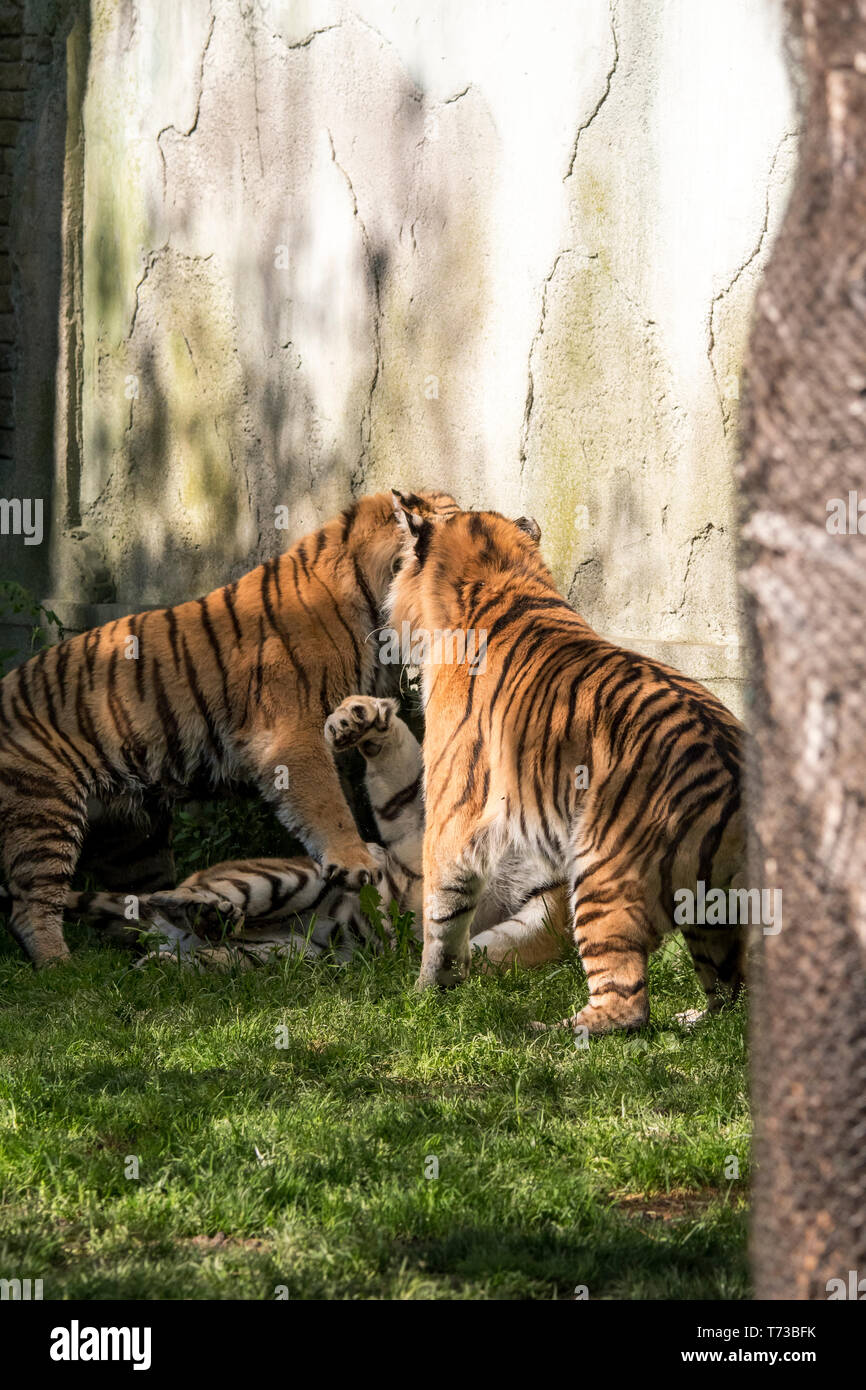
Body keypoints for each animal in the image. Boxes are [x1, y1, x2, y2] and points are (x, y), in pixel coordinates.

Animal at [0, 489, 458, 967]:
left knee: (138, 903)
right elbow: (326, 803)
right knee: (29, 905)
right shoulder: (290, 732)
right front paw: (354, 862)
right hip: (43, 807)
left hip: (132, 840)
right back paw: (60, 964)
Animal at [386, 496, 746, 1035]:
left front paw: (427, 991)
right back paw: (691, 1018)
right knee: (729, 992)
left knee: (627, 1007)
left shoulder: (453, 813)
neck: (505, 582)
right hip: (712, 919)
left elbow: (442, 916)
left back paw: (540, 1031)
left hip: (601, 877)